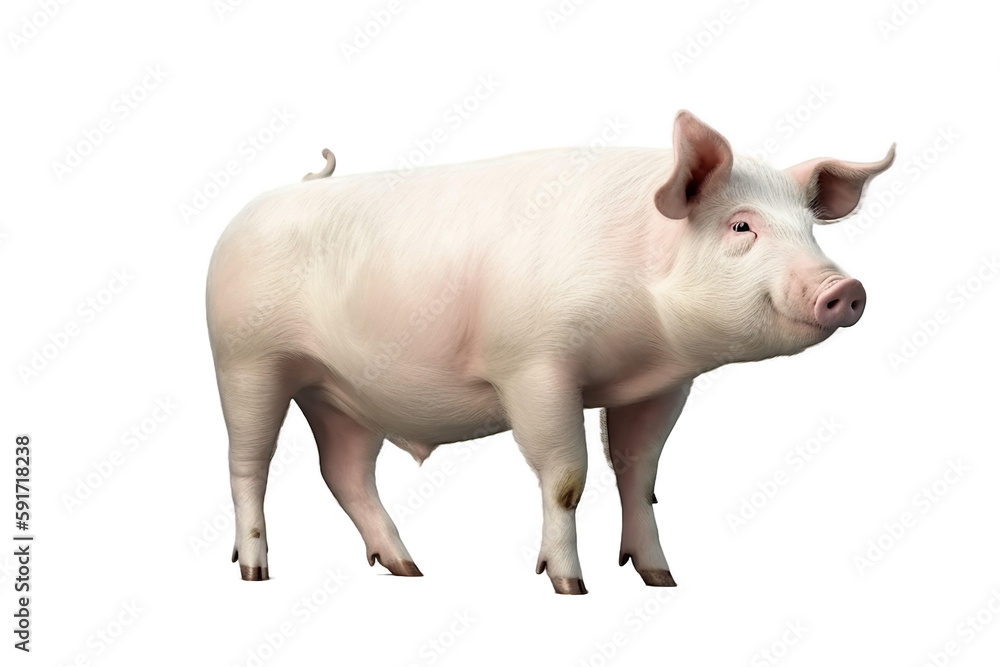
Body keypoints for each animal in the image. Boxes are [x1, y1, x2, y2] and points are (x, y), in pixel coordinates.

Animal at [206, 110, 894, 594]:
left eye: (809, 232)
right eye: (742, 226)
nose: (846, 288)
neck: (644, 336)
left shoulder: (660, 386)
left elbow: (639, 474)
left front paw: (662, 579)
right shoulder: (534, 367)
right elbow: (567, 478)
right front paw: (570, 586)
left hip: (340, 391)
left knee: (344, 471)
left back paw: (409, 569)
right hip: (245, 359)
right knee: (248, 464)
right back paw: (255, 572)